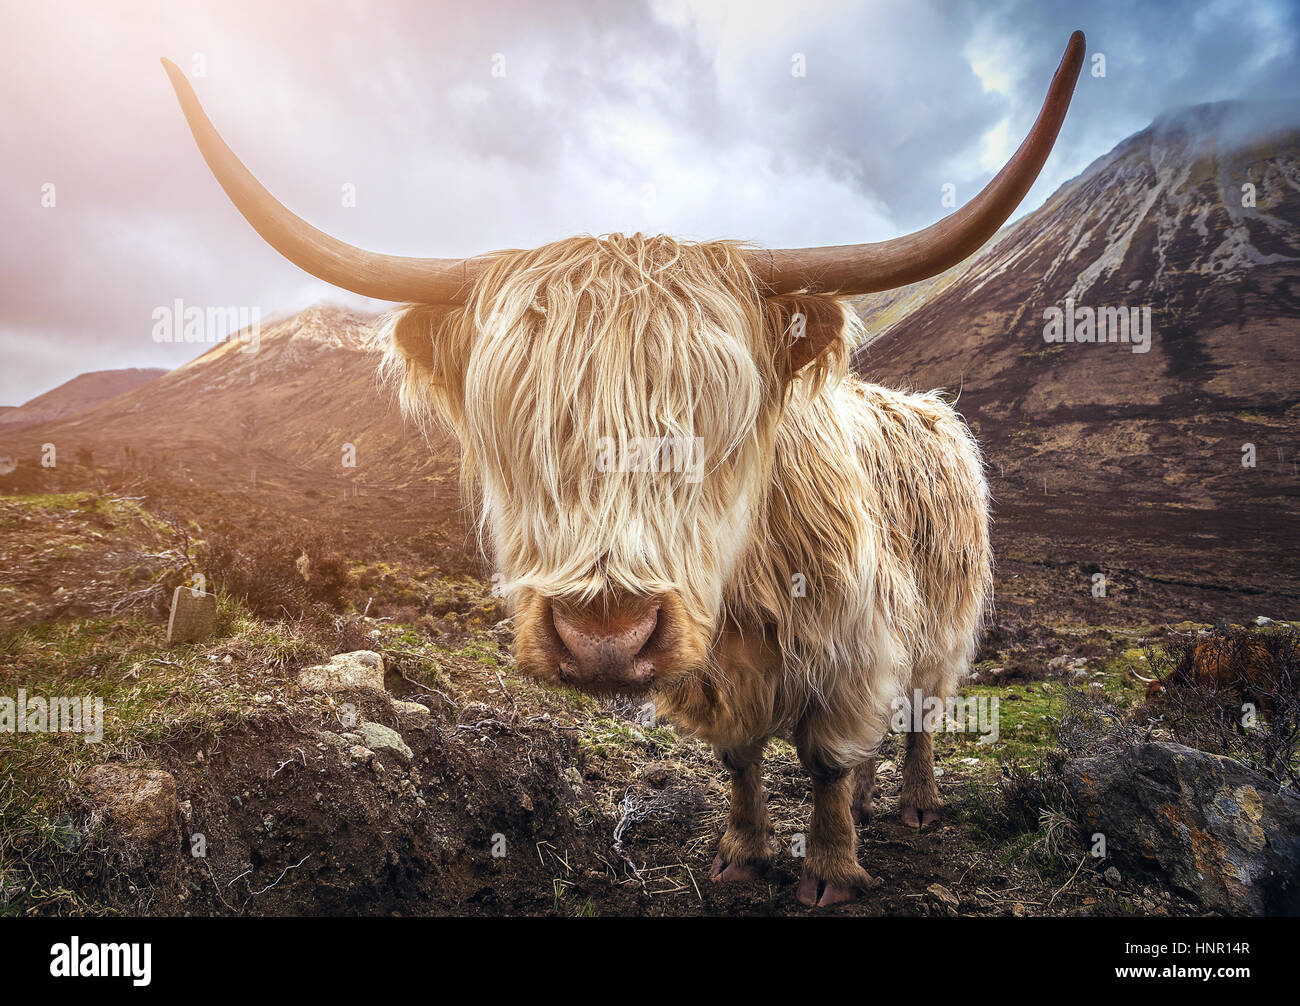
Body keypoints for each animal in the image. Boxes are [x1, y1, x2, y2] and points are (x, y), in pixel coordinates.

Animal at [163, 31, 1084, 906]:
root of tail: (933, 409)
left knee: (923, 709)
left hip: (944, 615)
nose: (604, 638)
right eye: (522, 427)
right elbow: (741, 758)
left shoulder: (851, 641)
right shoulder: (717, 676)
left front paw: (829, 868)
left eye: (716, 425)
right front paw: (742, 854)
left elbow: (825, 758)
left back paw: (918, 804)